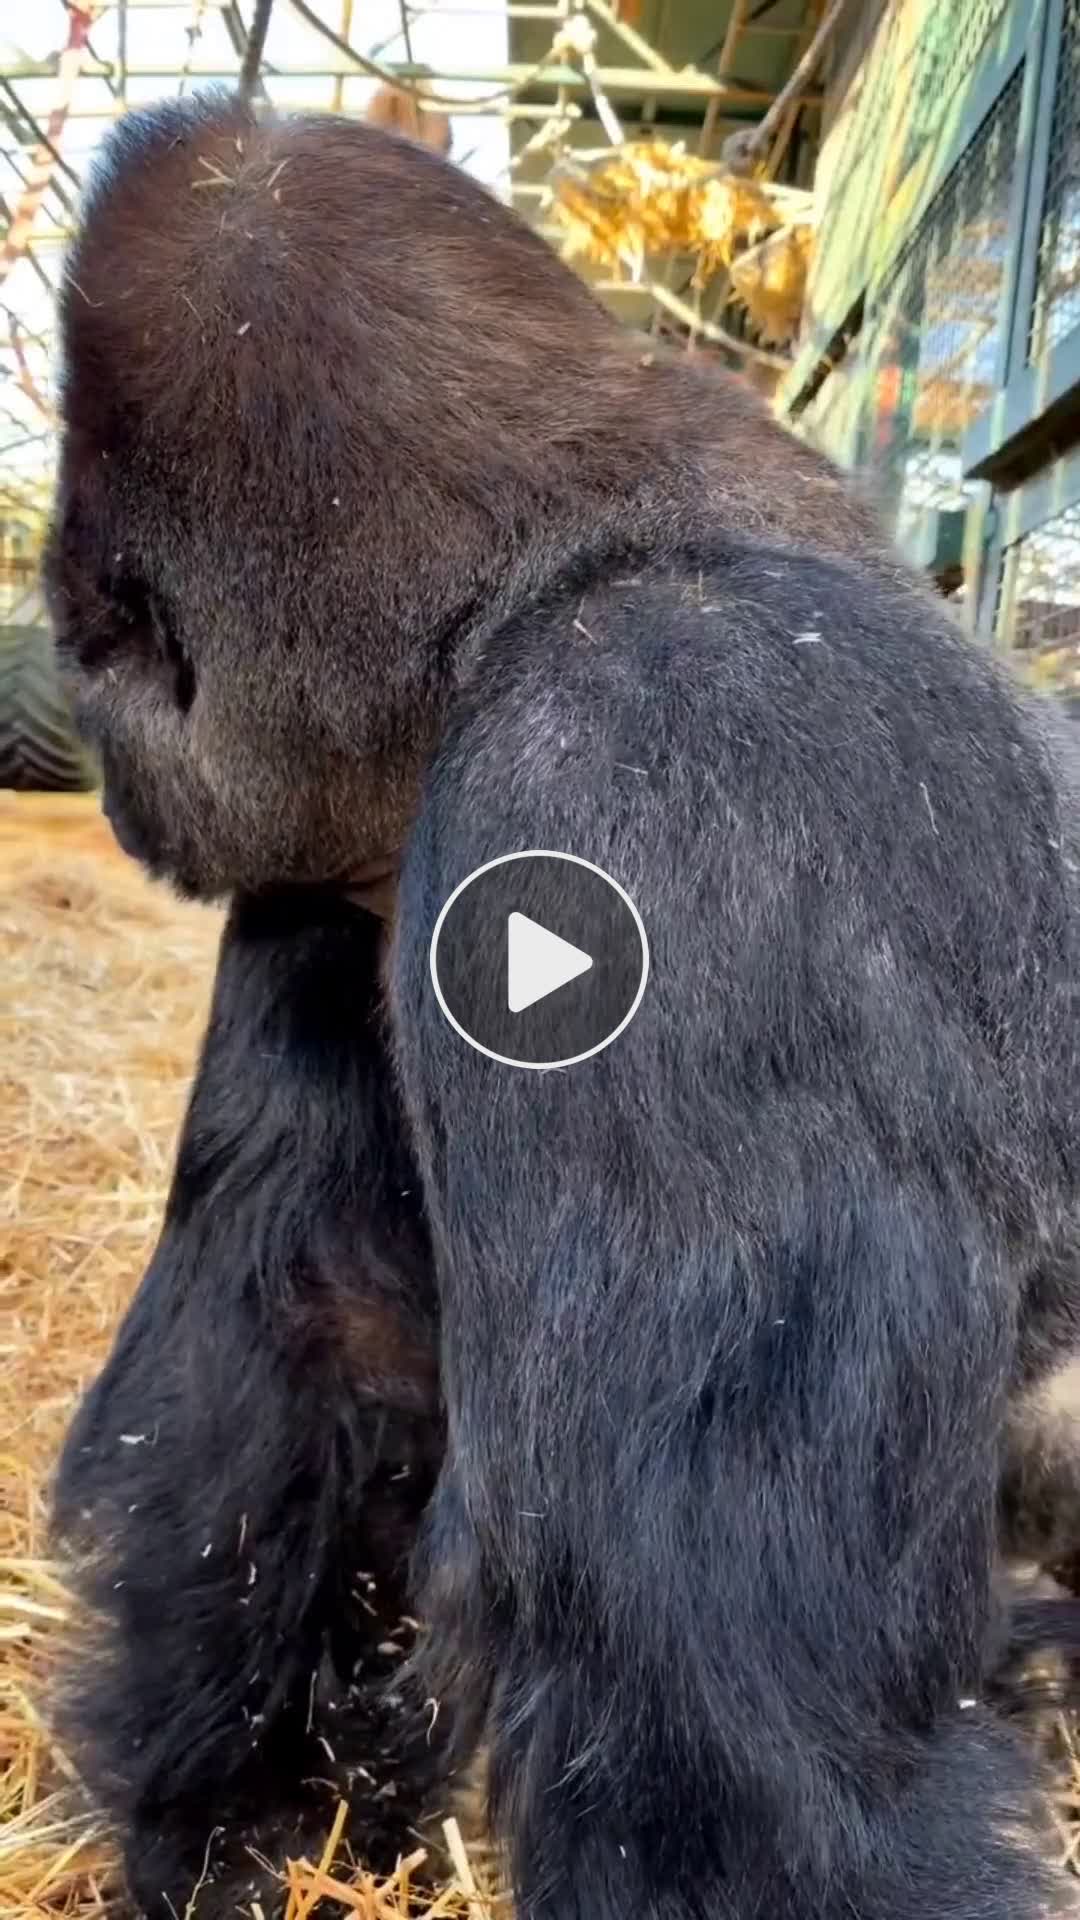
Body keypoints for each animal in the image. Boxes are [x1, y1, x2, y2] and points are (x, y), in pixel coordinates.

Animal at [43, 90, 1080, 1919]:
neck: (566, 557)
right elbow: (310, 1372)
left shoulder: (636, 770)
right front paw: (233, 1842)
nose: (87, 729)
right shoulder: (337, 898)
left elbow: (719, 1695)